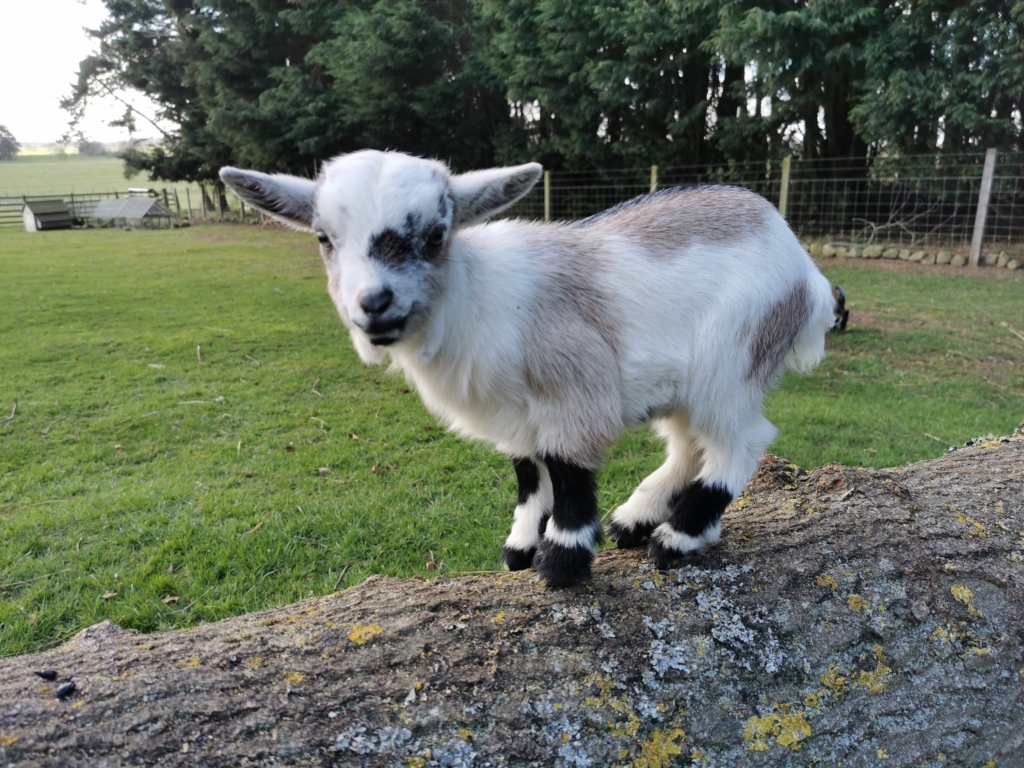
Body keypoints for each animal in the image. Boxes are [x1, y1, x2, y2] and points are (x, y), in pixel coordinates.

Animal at [220, 150, 835, 588]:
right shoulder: (515, 414)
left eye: (436, 235)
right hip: (686, 384)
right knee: (688, 446)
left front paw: (561, 561)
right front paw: (519, 546)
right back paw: (636, 520)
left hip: (732, 359)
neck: (477, 296)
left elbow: (567, 468)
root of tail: (803, 268)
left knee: (740, 441)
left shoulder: (574, 387)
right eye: (324, 238)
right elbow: (528, 472)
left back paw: (676, 538)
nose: (374, 303)